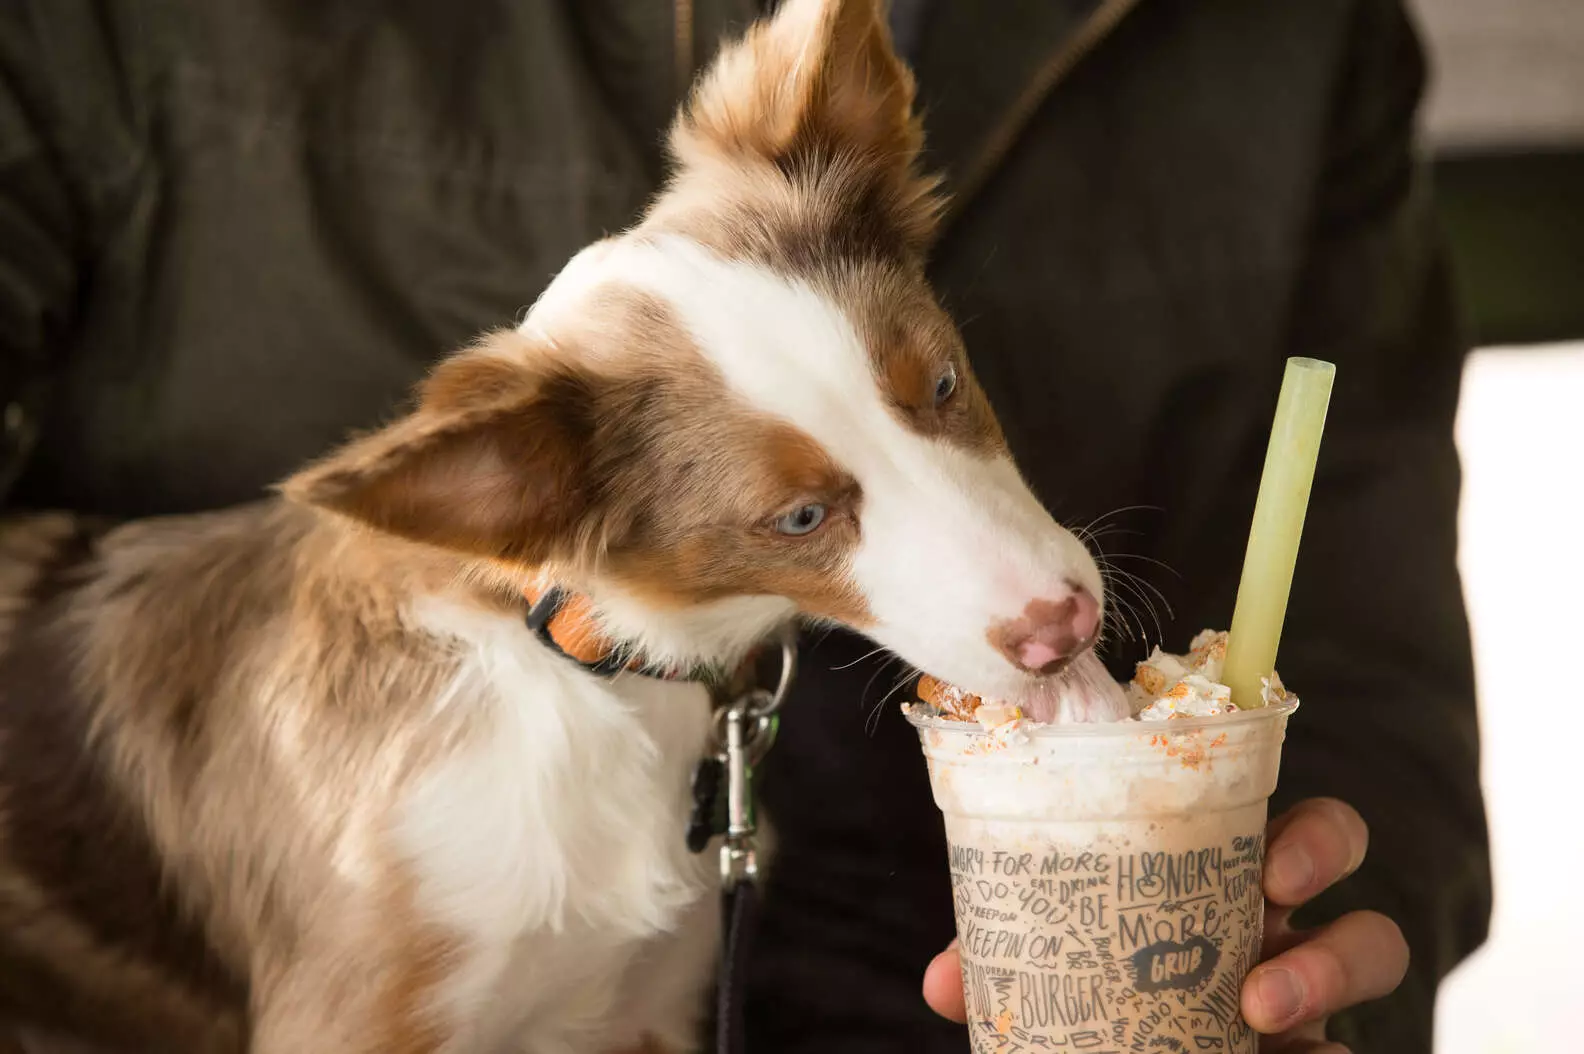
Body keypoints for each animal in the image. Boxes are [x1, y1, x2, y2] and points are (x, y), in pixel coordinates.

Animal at [0, 2, 1115, 1052]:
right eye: (799, 518)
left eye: (943, 384)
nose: (1061, 626)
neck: (583, 664)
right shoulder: (354, 1013)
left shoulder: (646, 1008)